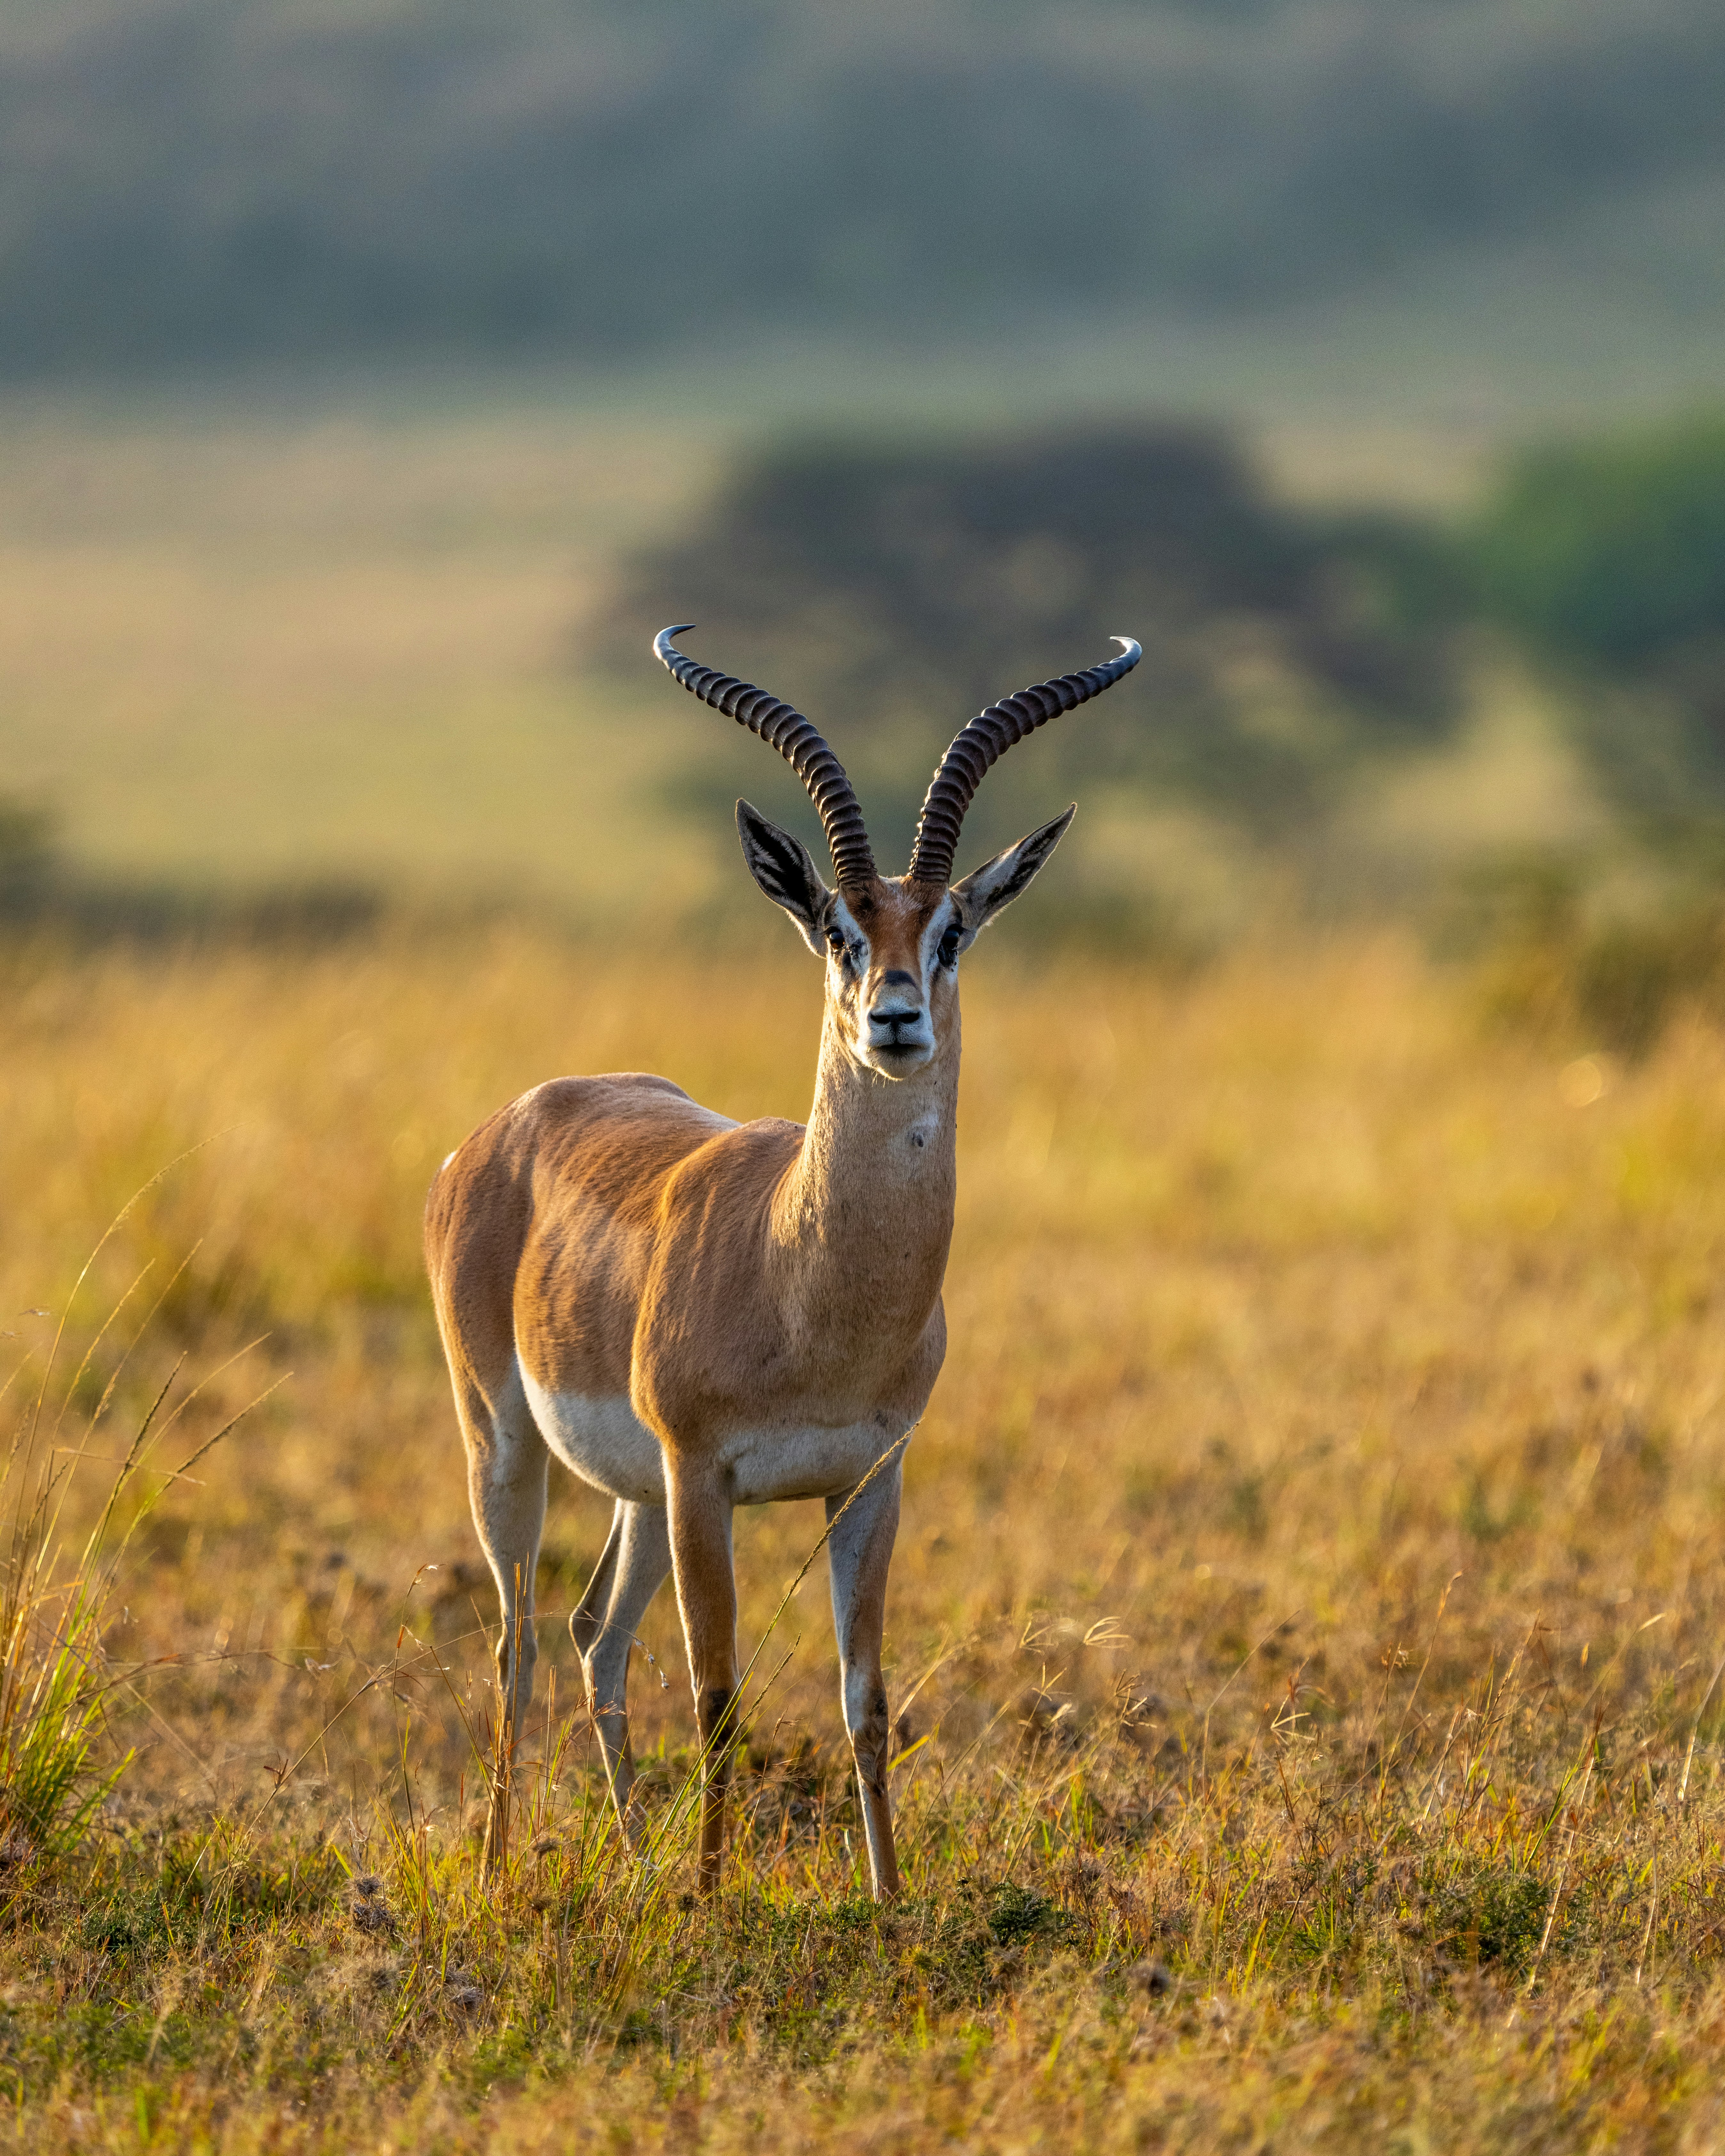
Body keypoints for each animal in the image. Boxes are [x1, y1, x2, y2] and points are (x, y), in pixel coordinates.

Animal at [424, 625, 1141, 1894]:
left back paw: (632, 1854)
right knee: (517, 1637)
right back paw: (510, 1867)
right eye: (838, 932)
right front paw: (713, 1899)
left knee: (594, 1633)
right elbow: (718, 1695)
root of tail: (506, 1124)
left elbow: (867, 1697)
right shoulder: (706, 1475)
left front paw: (891, 1897)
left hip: (638, 1492)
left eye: (950, 932)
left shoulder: (870, 1479)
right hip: (506, 1441)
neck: (808, 1288)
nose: (895, 1016)